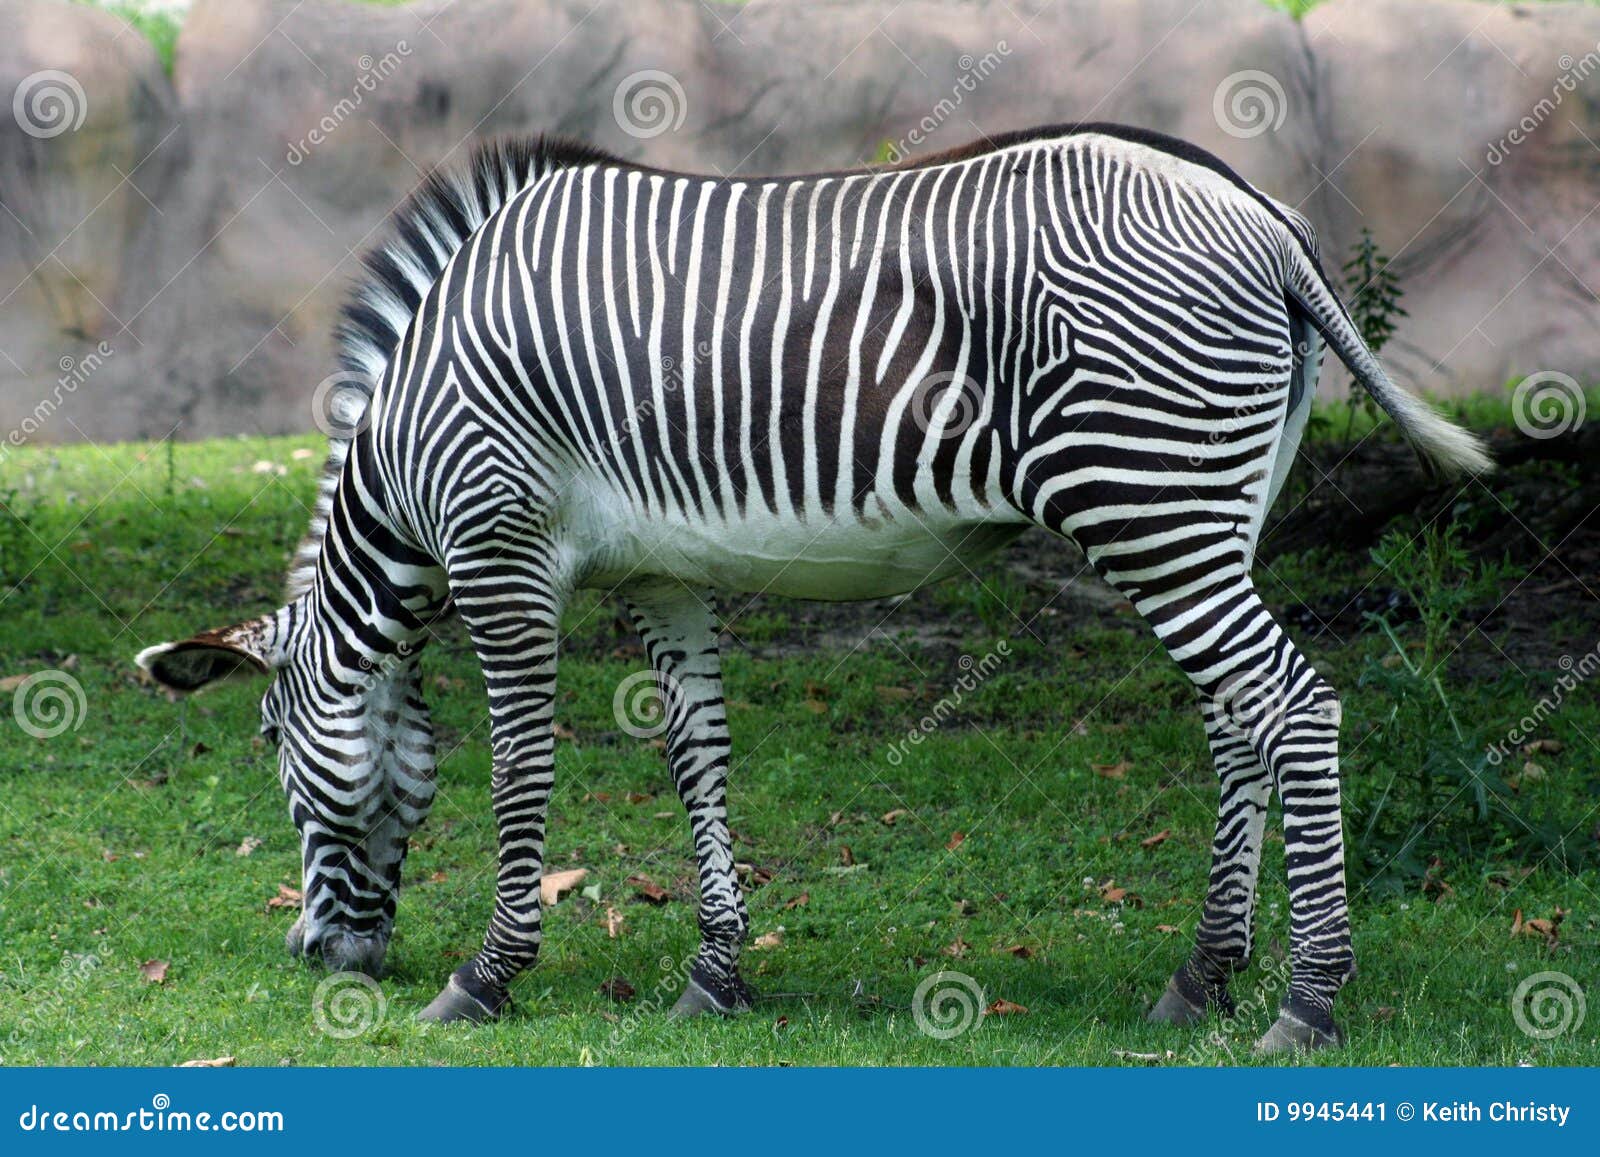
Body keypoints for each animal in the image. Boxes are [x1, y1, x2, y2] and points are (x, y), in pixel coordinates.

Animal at [136, 124, 1490, 1052]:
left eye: (272, 746)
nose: (319, 955)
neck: (411, 436)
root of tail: (1264, 219)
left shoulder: (499, 548)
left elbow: (520, 764)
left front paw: (485, 974)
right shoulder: (663, 570)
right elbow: (698, 756)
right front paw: (716, 972)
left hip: (1142, 495)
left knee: (1291, 707)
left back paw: (1306, 1001)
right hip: (1209, 508)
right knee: (1234, 718)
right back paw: (1201, 976)